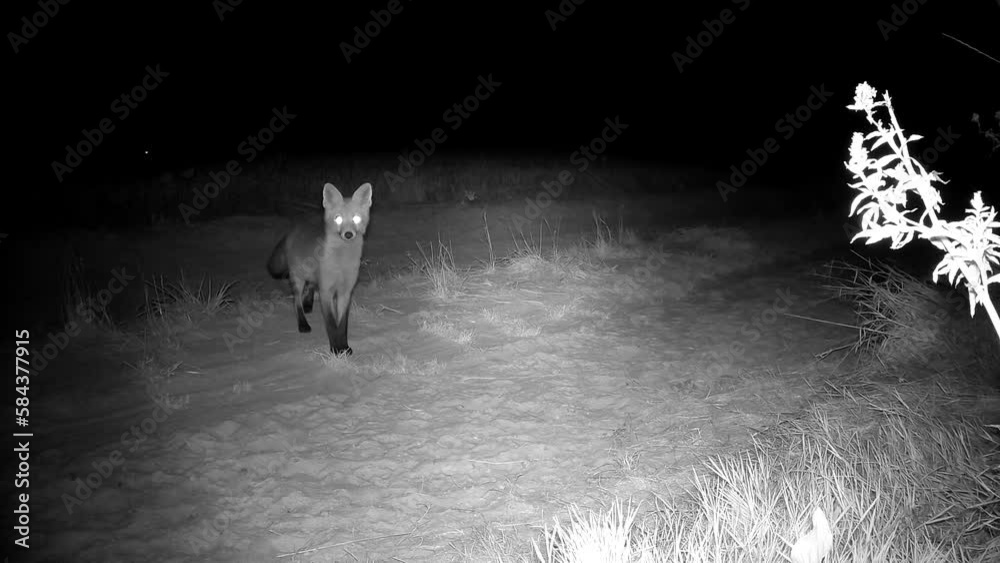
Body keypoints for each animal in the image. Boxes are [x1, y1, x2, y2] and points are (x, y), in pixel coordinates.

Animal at [266, 182, 373, 355]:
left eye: (356, 218)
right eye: (338, 218)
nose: (348, 234)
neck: (341, 263)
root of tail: (294, 229)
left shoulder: (345, 292)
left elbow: (342, 324)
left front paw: (344, 347)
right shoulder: (326, 291)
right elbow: (331, 324)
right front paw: (336, 349)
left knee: (310, 286)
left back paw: (308, 304)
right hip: (297, 278)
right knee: (296, 301)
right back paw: (303, 323)